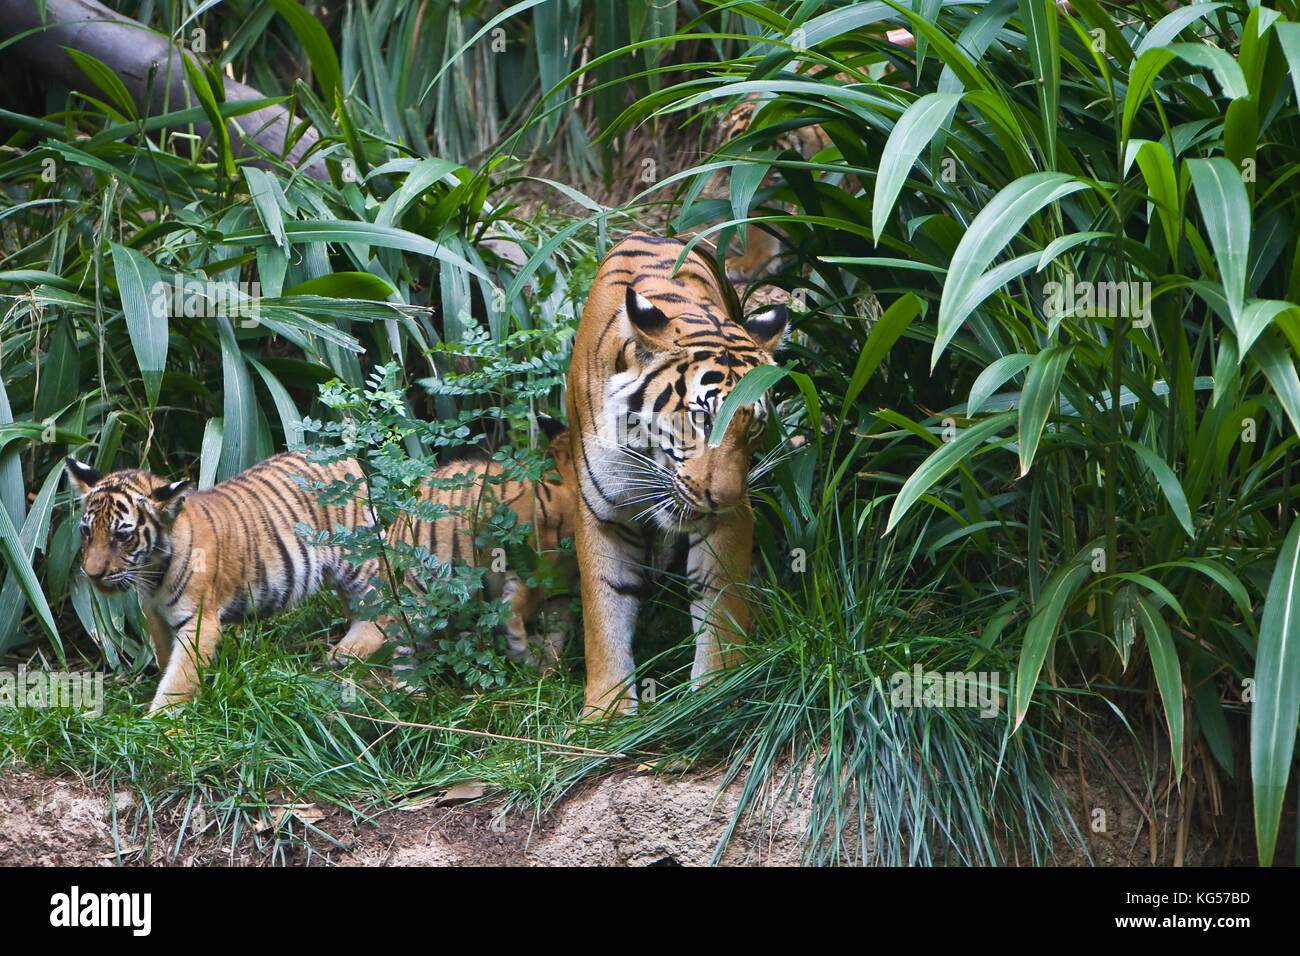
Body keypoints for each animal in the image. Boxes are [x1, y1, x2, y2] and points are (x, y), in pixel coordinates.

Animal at [65, 426, 577, 712]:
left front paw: (160, 725)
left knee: (387, 611)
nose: (91, 575)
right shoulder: (155, 615)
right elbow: (164, 657)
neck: (151, 573)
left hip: (359, 562)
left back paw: (347, 654)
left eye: (123, 535)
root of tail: (338, 453)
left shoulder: (200, 621)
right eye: (86, 532)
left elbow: (180, 678)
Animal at [565, 233, 788, 718]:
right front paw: (605, 713)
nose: (725, 497)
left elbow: (720, 600)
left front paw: (717, 692)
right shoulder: (599, 514)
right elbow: (603, 611)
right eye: (702, 418)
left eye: (754, 427)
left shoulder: (728, 520)